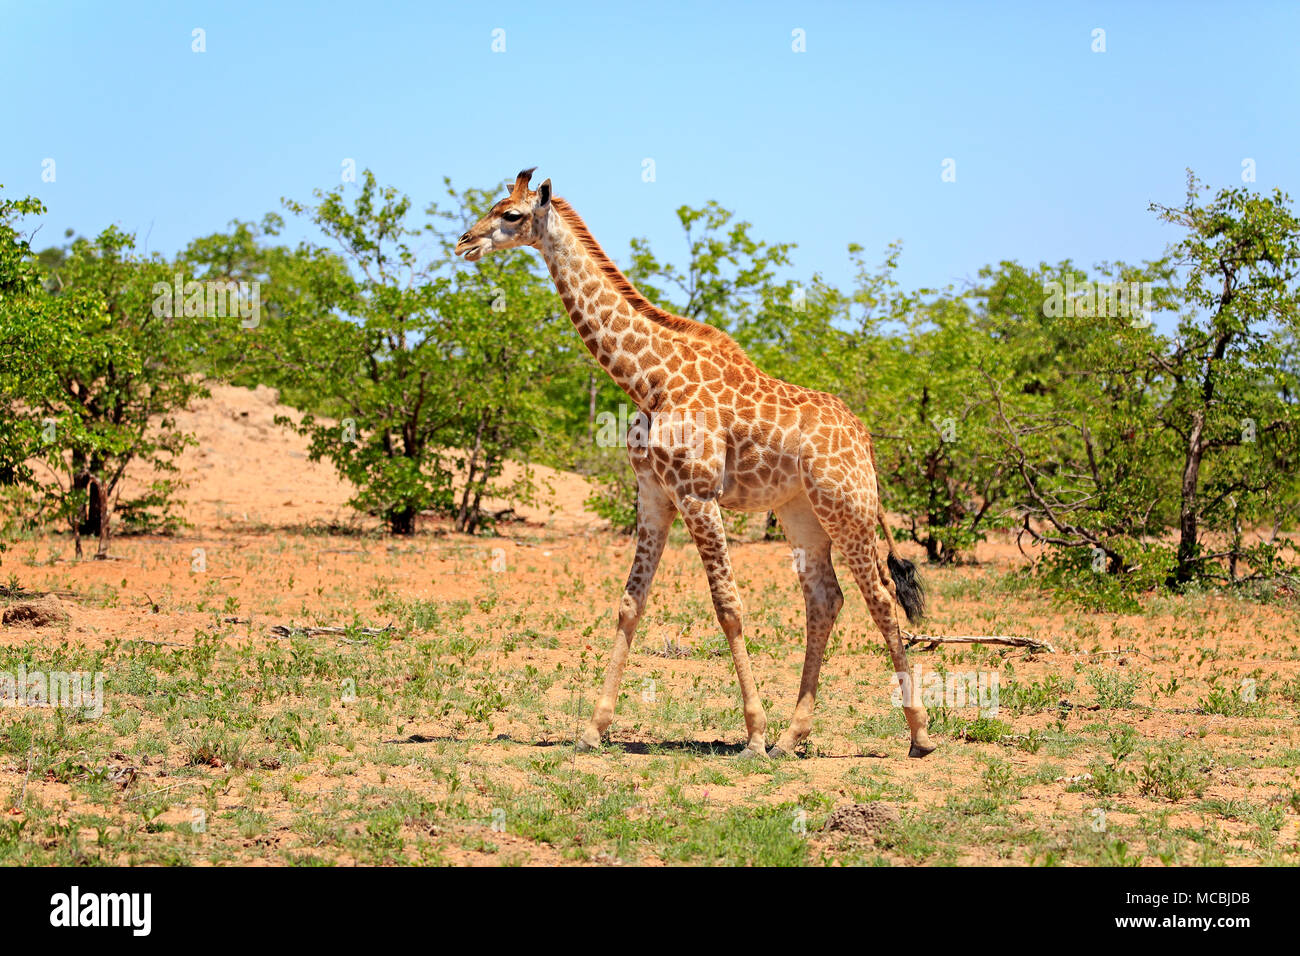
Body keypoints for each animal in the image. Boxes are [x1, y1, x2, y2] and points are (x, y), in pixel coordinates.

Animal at [456, 169, 936, 759]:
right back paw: (793, 737)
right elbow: (630, 603)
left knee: (883, 601)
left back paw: (918, 735)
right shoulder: (654, 496)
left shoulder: (697, 493)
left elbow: (728, 606)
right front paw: (593, 729)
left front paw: (753, 733)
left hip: (848, 509)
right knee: (826, 600)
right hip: (802, 515)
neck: (647, 378)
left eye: (512, 215)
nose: (465, 242)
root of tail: (864, 438)